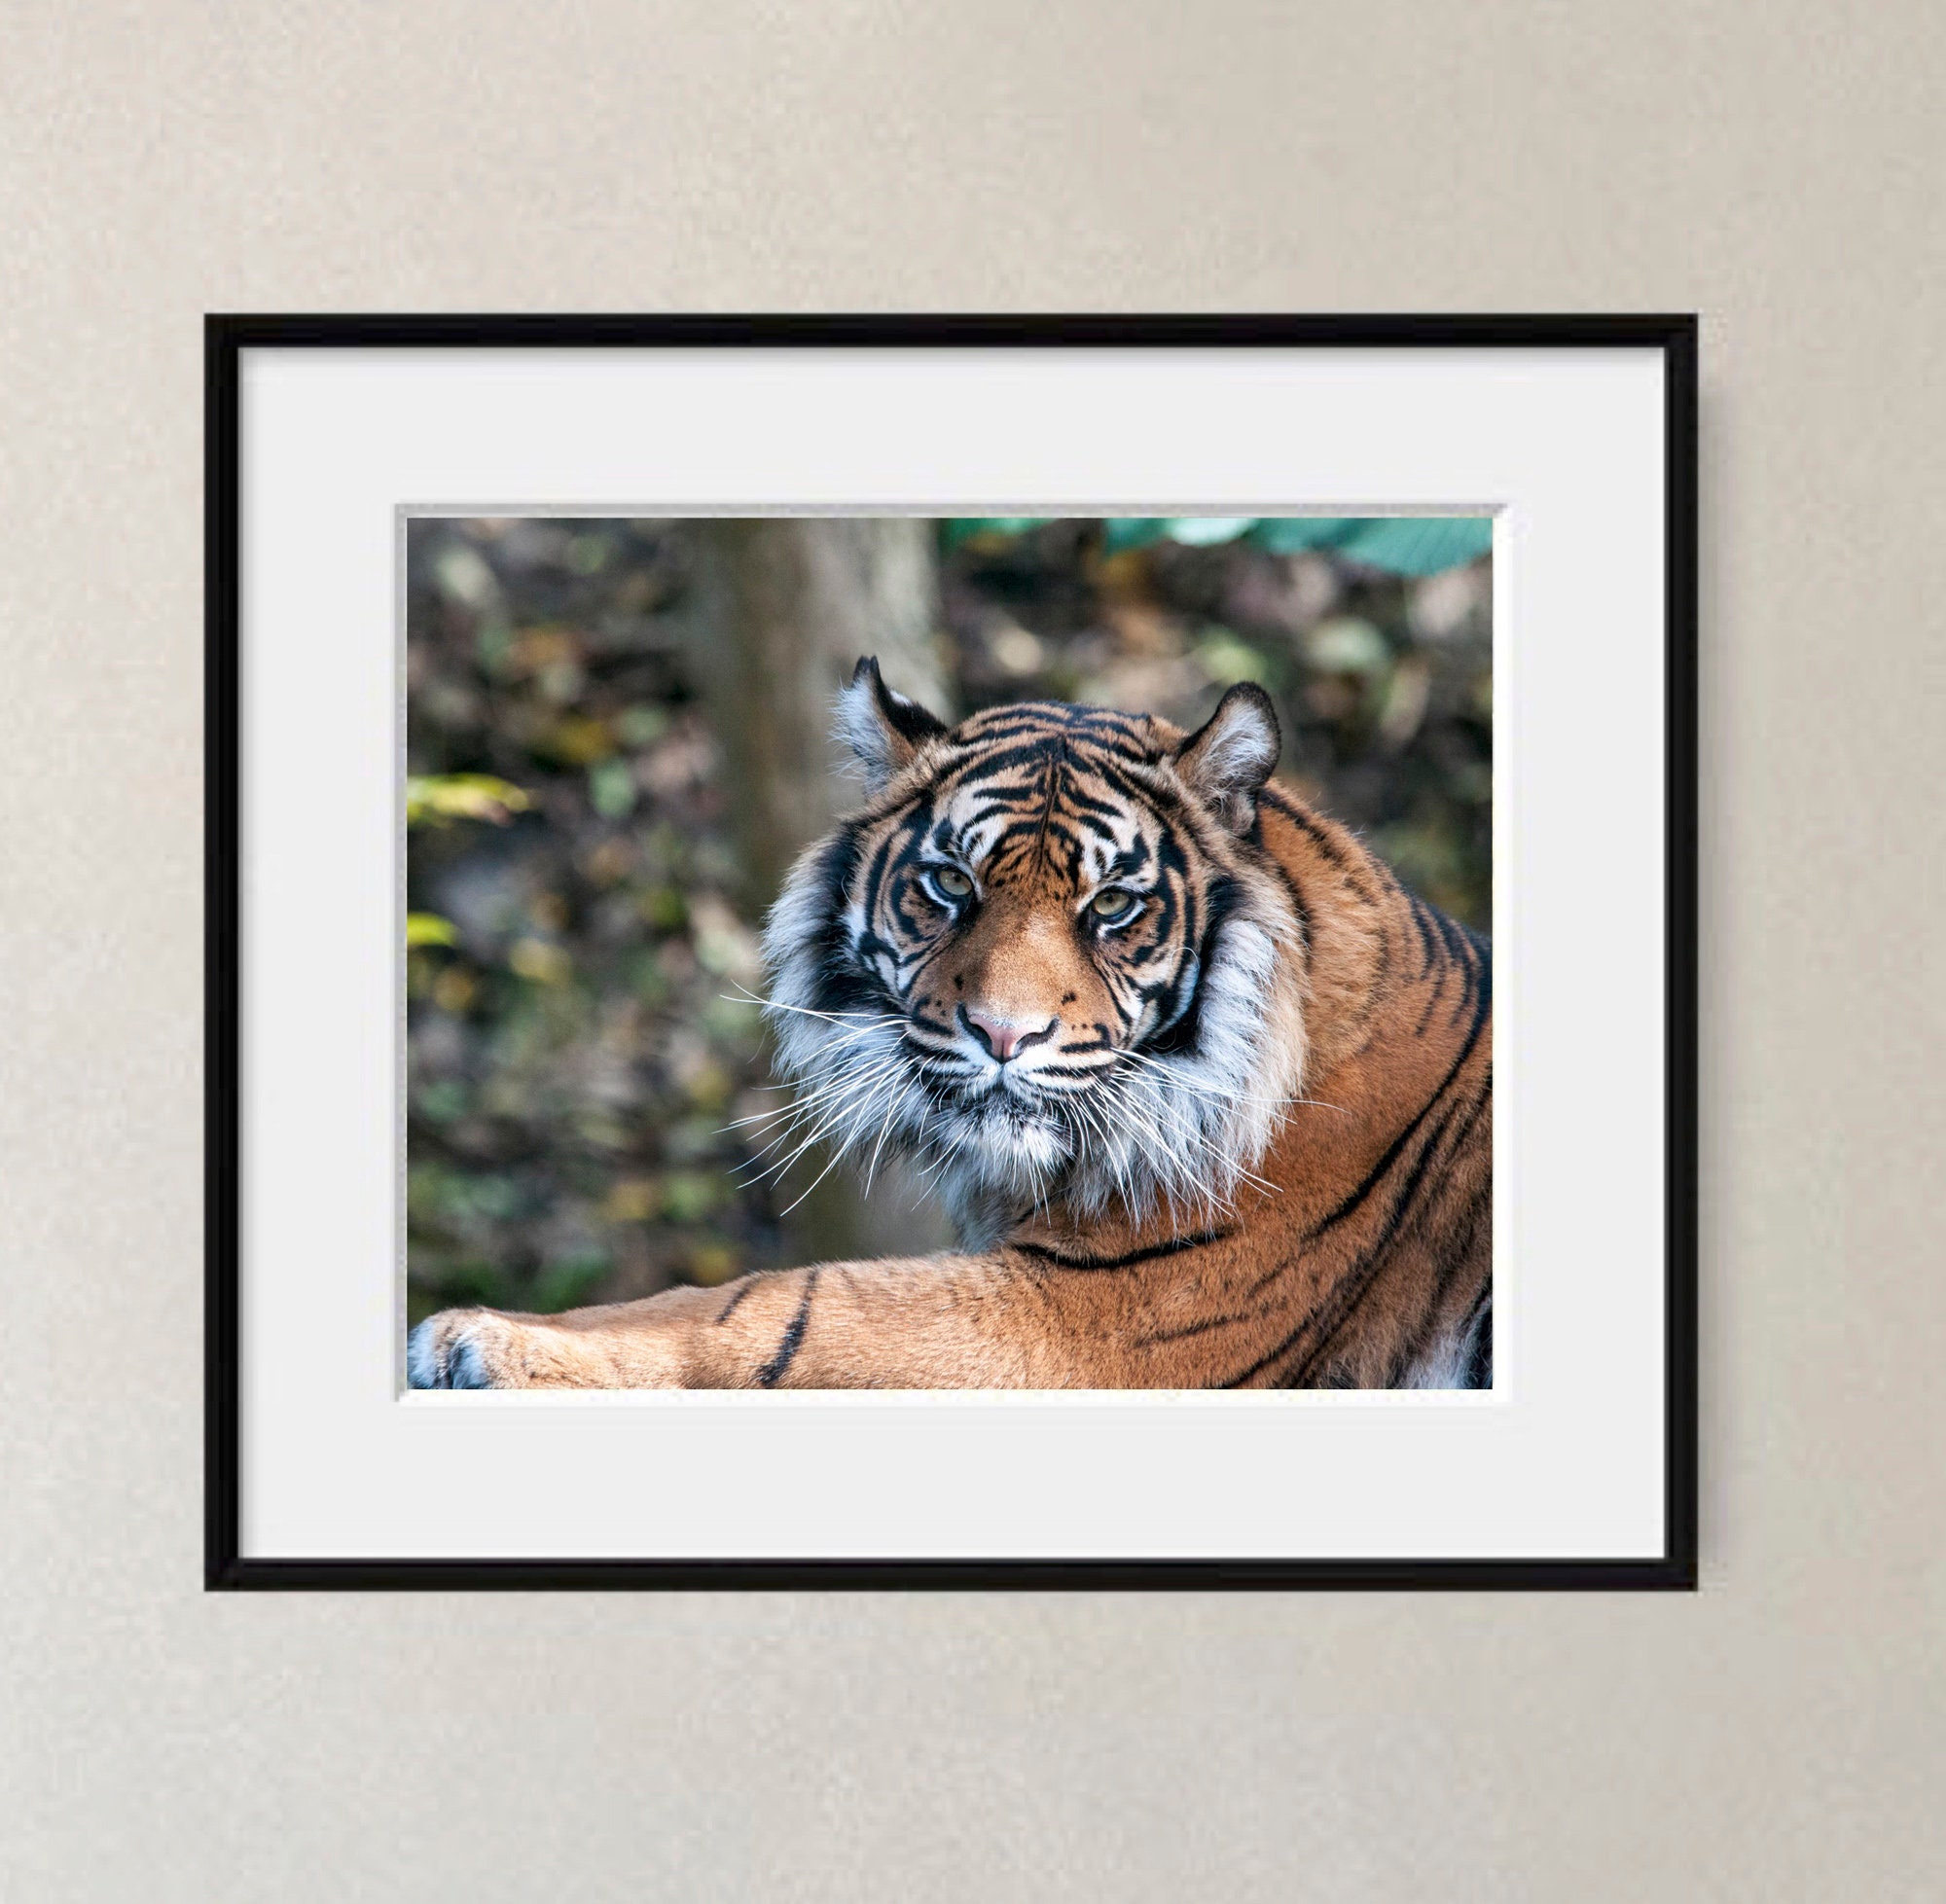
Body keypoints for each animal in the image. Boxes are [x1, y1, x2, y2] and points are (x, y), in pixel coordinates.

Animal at [409, 658, 1492, 1391]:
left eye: (1111, 905)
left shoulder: (1098, 1316)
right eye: (950, 884)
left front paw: (480, 1337)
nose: (1003, 1034)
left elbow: (783, 1307)